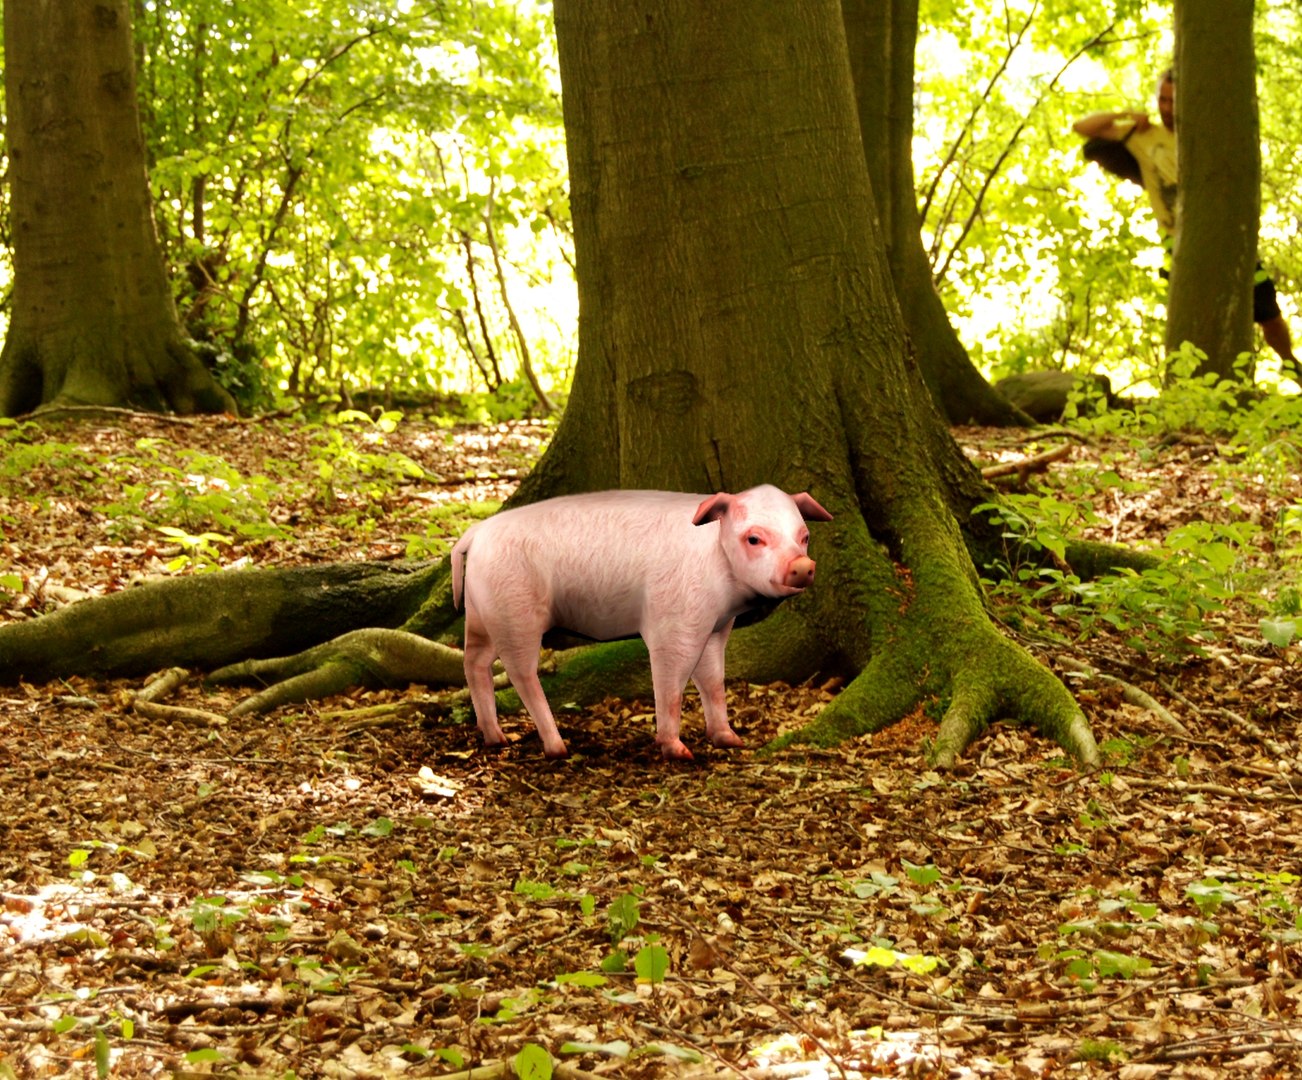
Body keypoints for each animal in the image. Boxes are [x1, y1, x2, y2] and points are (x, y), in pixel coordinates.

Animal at [449, 485, 832, 760]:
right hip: (516, 611)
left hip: (482, 613)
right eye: (754, 538)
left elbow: (713, 681)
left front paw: (730, 740)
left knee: (474, 662)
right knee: (521, 672)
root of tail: (476, 532)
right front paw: (680, 752)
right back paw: (557, 748)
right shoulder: (674, 619)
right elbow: (671, 683)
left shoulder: (715, 626)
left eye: (804, 536)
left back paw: (496, 739)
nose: (802, 565)